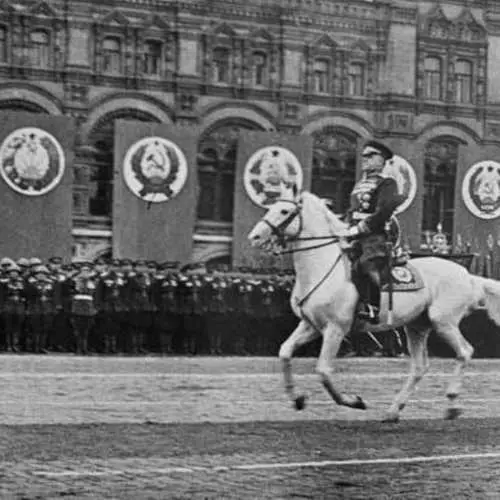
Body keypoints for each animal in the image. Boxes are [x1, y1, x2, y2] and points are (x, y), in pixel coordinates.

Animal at [250, 188, 500, 422]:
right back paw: (393, 411)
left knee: (465, 352)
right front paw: (298, 398)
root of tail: (468, 275)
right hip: (416, 327)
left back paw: (451, 405)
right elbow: (284, 352)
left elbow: (323, 372)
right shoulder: (310, 326)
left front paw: (354, 401)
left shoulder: (335, 329)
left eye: (284, 211)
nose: (254, 237)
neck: (322, 269)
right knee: (420, 367)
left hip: (443, 322)